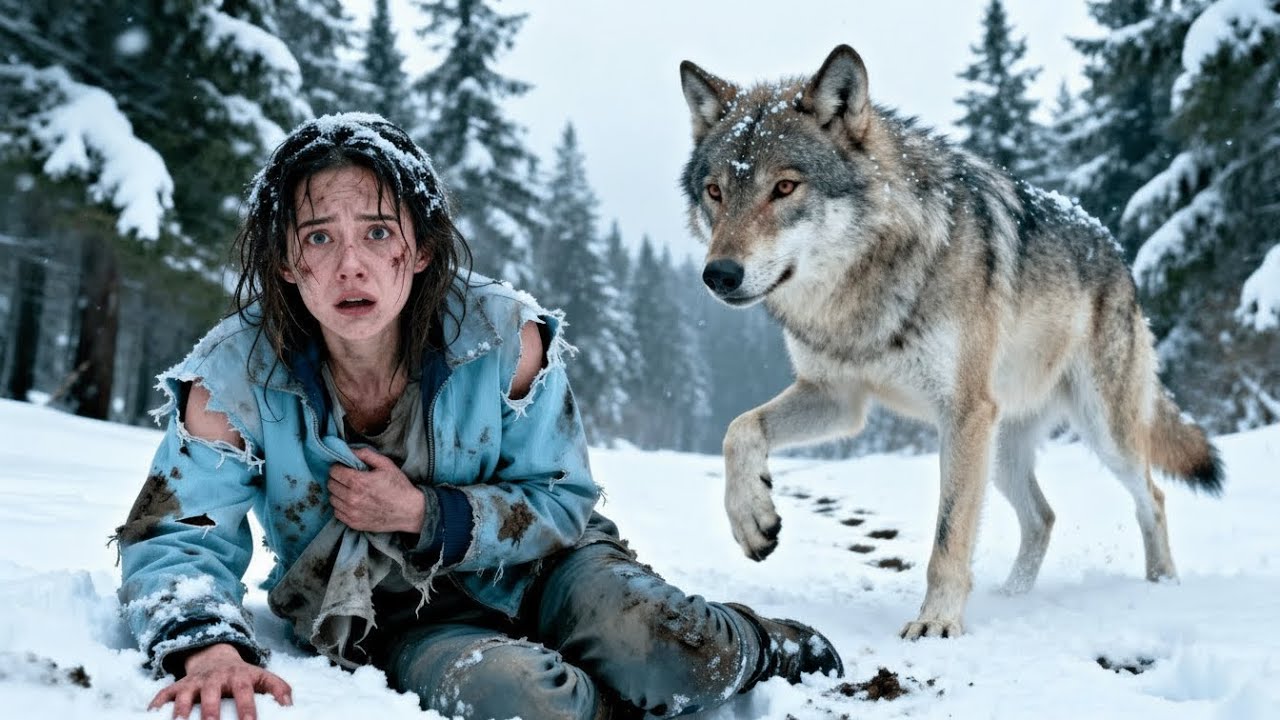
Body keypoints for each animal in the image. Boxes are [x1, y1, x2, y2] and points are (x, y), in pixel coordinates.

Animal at [678, 45, 1223, 639]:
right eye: (715, 192)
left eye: (784, 187)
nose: (719, 274)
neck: (860, 290)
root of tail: (1116, 247)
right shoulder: (839, 399)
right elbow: (739, 429)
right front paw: (752, 519)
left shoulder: (961, 413)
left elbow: (949, 533)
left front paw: (937, 623)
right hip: (1002, 447)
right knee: (1043, 517)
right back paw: (1011, 598)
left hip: (1097, 432)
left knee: (1154, 496)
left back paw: (1161, 584)